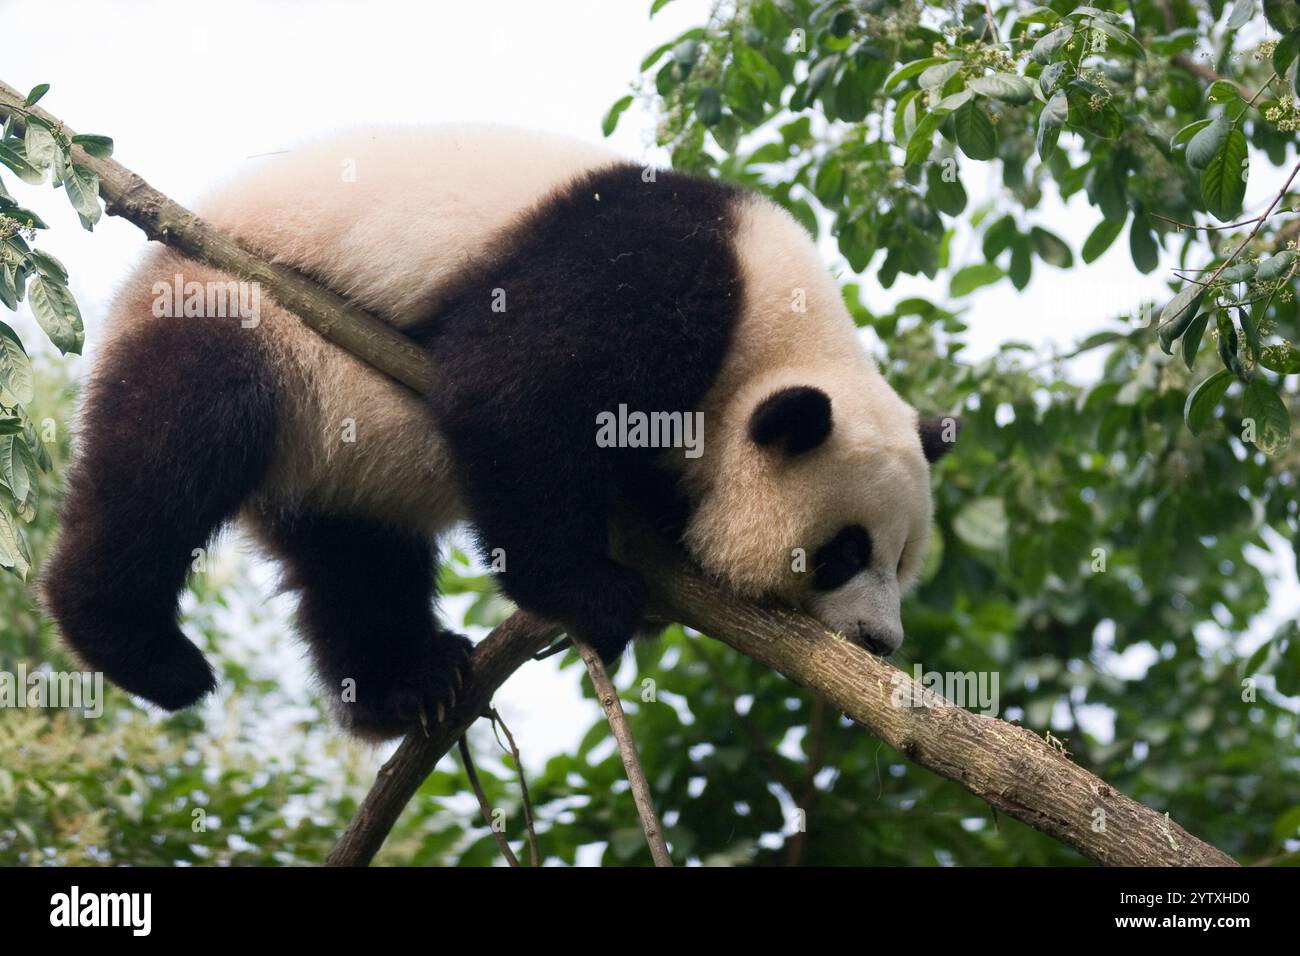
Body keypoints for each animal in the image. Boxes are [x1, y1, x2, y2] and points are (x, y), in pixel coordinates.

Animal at [42, 126, 957, 740]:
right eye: (842, 552)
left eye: (905, 559)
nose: (880, 640)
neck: (776, 331)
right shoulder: (659, 273)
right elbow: (511, 391)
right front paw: (593, 593)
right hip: (238, 301)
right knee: (177, 445)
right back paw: (137, 644)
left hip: (333, 438)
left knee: (356, 560)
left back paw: (405, 685)